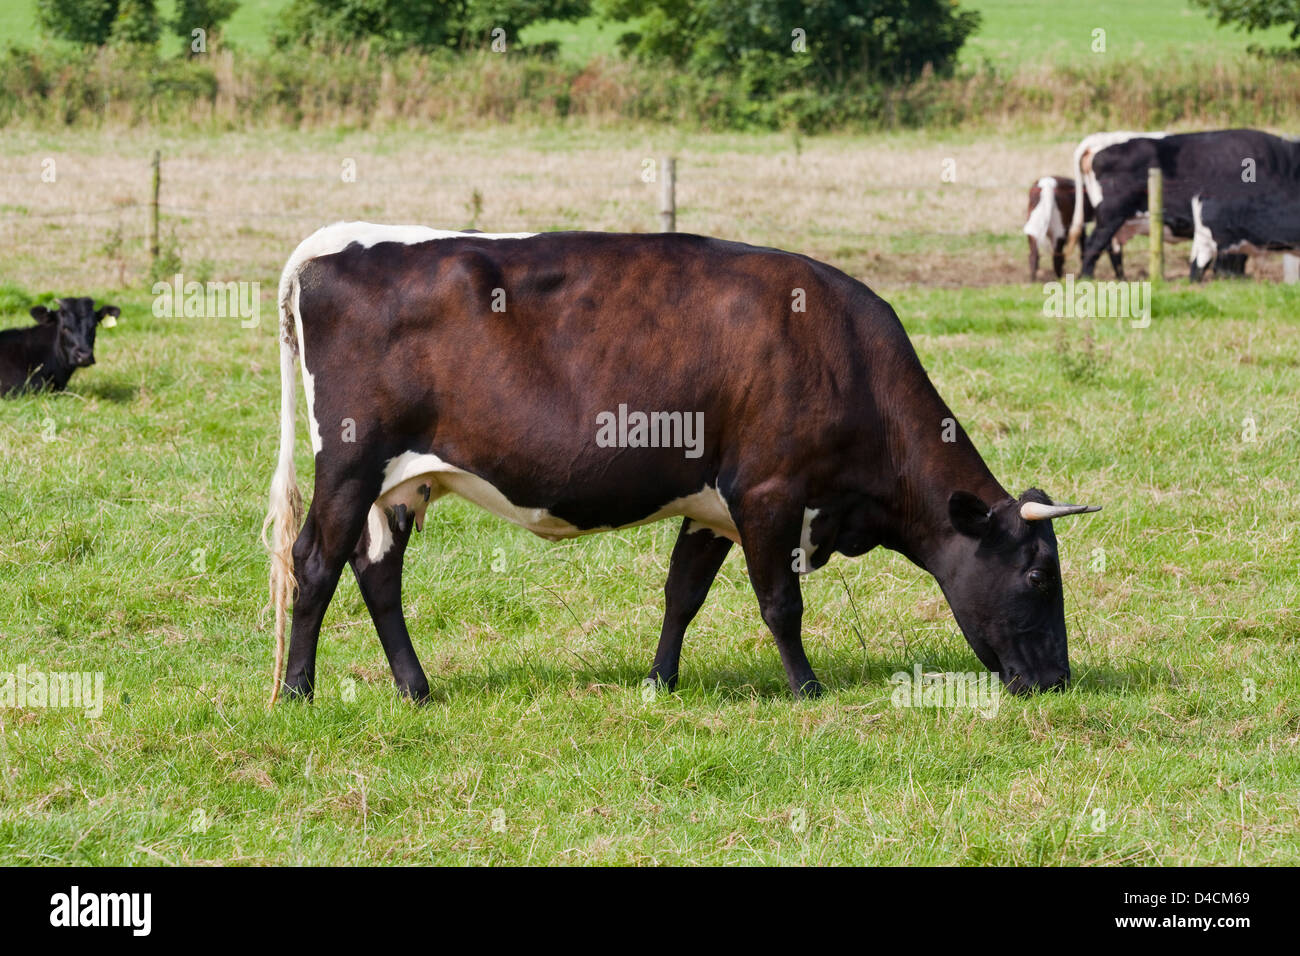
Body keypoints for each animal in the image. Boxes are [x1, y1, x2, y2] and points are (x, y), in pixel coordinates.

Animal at [263, 222, 1100, 707]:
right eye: (1037, 574)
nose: (1059, 681)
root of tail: (332, 244)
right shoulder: (768, 491)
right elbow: (780, 604)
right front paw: (806, 688)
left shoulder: (713, 505)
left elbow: (682, 595)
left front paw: (660, 681)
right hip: (349, 463)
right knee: (315, 563)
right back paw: (297, 692)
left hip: (399, 484)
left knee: (376, 571)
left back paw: (416, 689)